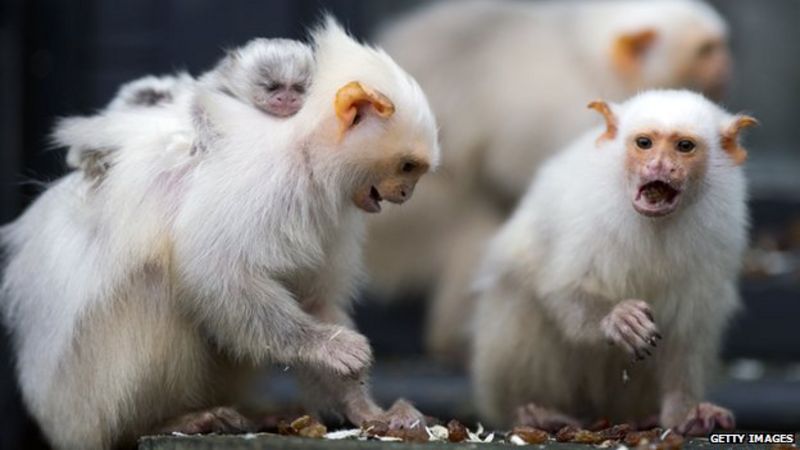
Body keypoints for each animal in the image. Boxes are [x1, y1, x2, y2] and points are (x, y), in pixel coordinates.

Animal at [1, 17, 439, 450]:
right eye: (407, 167)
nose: (405, 194)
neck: (302, 148)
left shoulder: (330, 212)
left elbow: (312, 299)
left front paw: (366, 410)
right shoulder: (263, 181)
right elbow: (215, 272)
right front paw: (327, 346)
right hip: (85, 405)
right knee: (155, 282)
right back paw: (169, 420)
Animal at [470, 90, 756, 435]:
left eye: (684, 146)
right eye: (644, 143)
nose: (660, 166)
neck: (655, 224)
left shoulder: (719, 237)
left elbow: (689, 328)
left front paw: (686, 413)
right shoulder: (584, 219)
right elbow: (563, 291)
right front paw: (618, 319)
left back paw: (646, 418)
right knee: (518, 293)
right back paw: (536, 413)